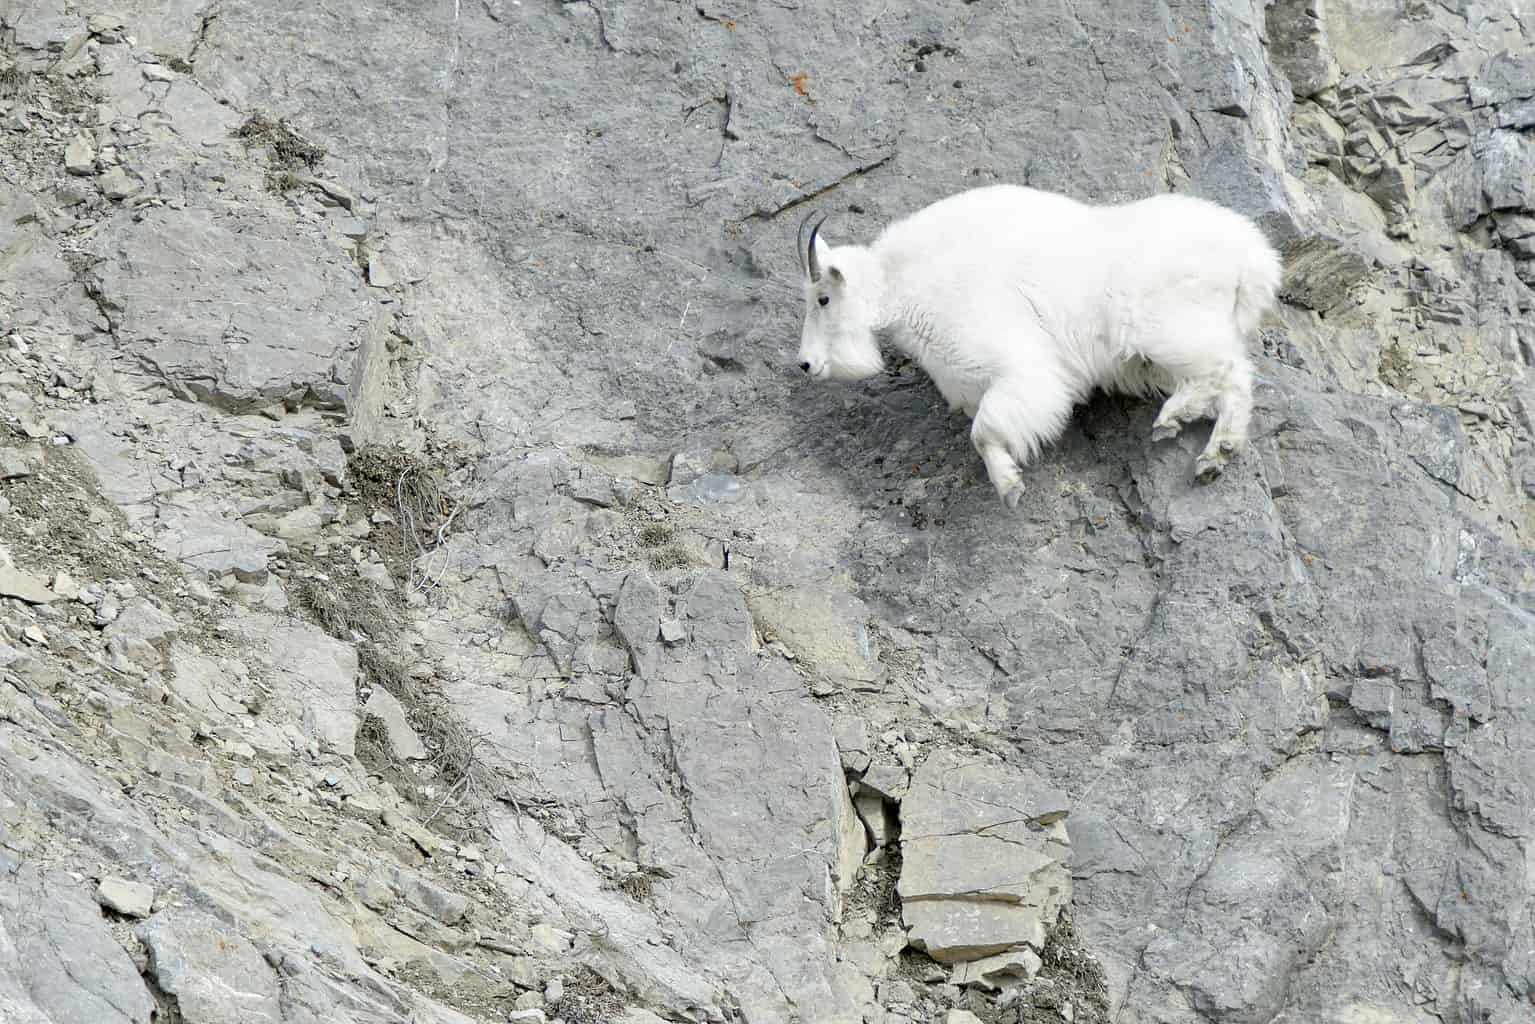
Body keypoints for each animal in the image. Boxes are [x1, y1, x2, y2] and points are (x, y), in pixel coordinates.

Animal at [793, 184, 1282, 507]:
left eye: (822, 299)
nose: (806, 364)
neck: (908, 285)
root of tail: (1254, 259)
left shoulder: (1020, 371)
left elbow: (984, 432)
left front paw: (1009, 486)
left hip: (1169, 331)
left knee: (1221, 370)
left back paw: (1173, 420)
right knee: (1235, 381)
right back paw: (1215, 455)